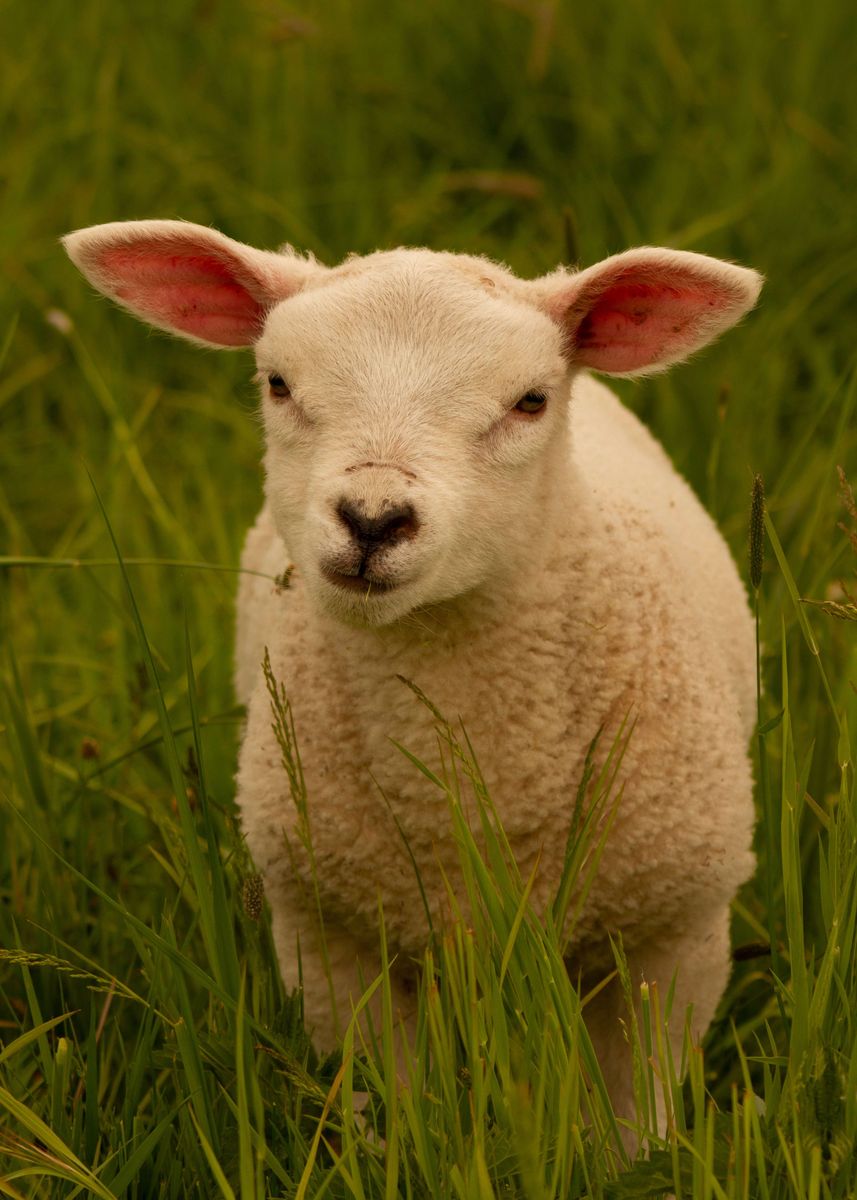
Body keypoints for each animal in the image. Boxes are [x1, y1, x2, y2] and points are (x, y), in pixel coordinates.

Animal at [63, 219, 761, 1129]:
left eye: (529, 401)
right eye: (277, 383)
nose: (372, 519)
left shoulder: (670, 937)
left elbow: (631, 1118)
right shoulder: (330, 940)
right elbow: (394, 1106)